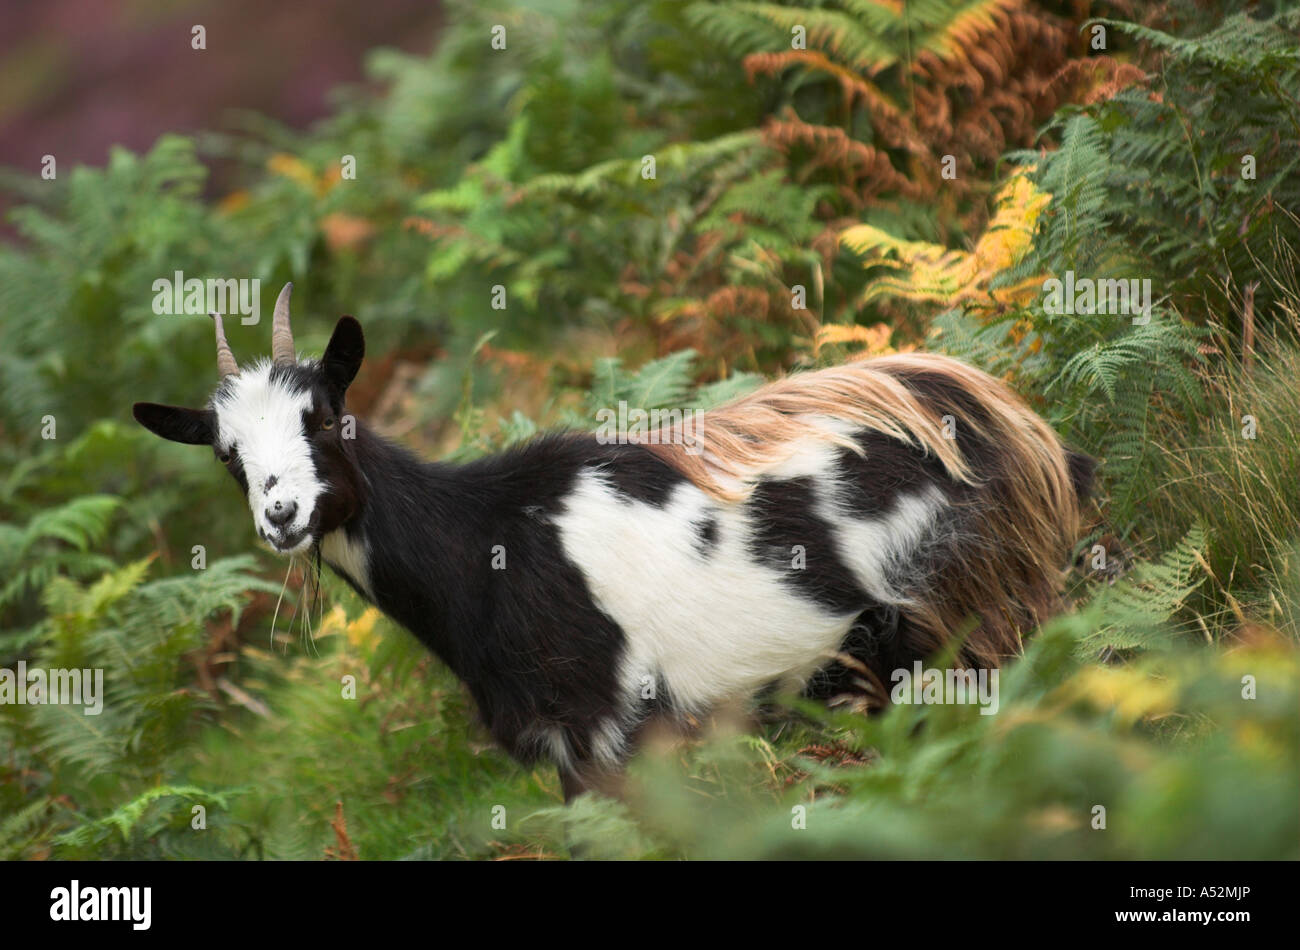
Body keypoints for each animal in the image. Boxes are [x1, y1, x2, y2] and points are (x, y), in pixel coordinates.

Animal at [133, 284, 1094, 800]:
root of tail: (1004, 415)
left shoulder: (614, 732)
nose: (284, 515)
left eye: (324, 414)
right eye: (226, 453)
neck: (488, 544)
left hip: (958, 605)